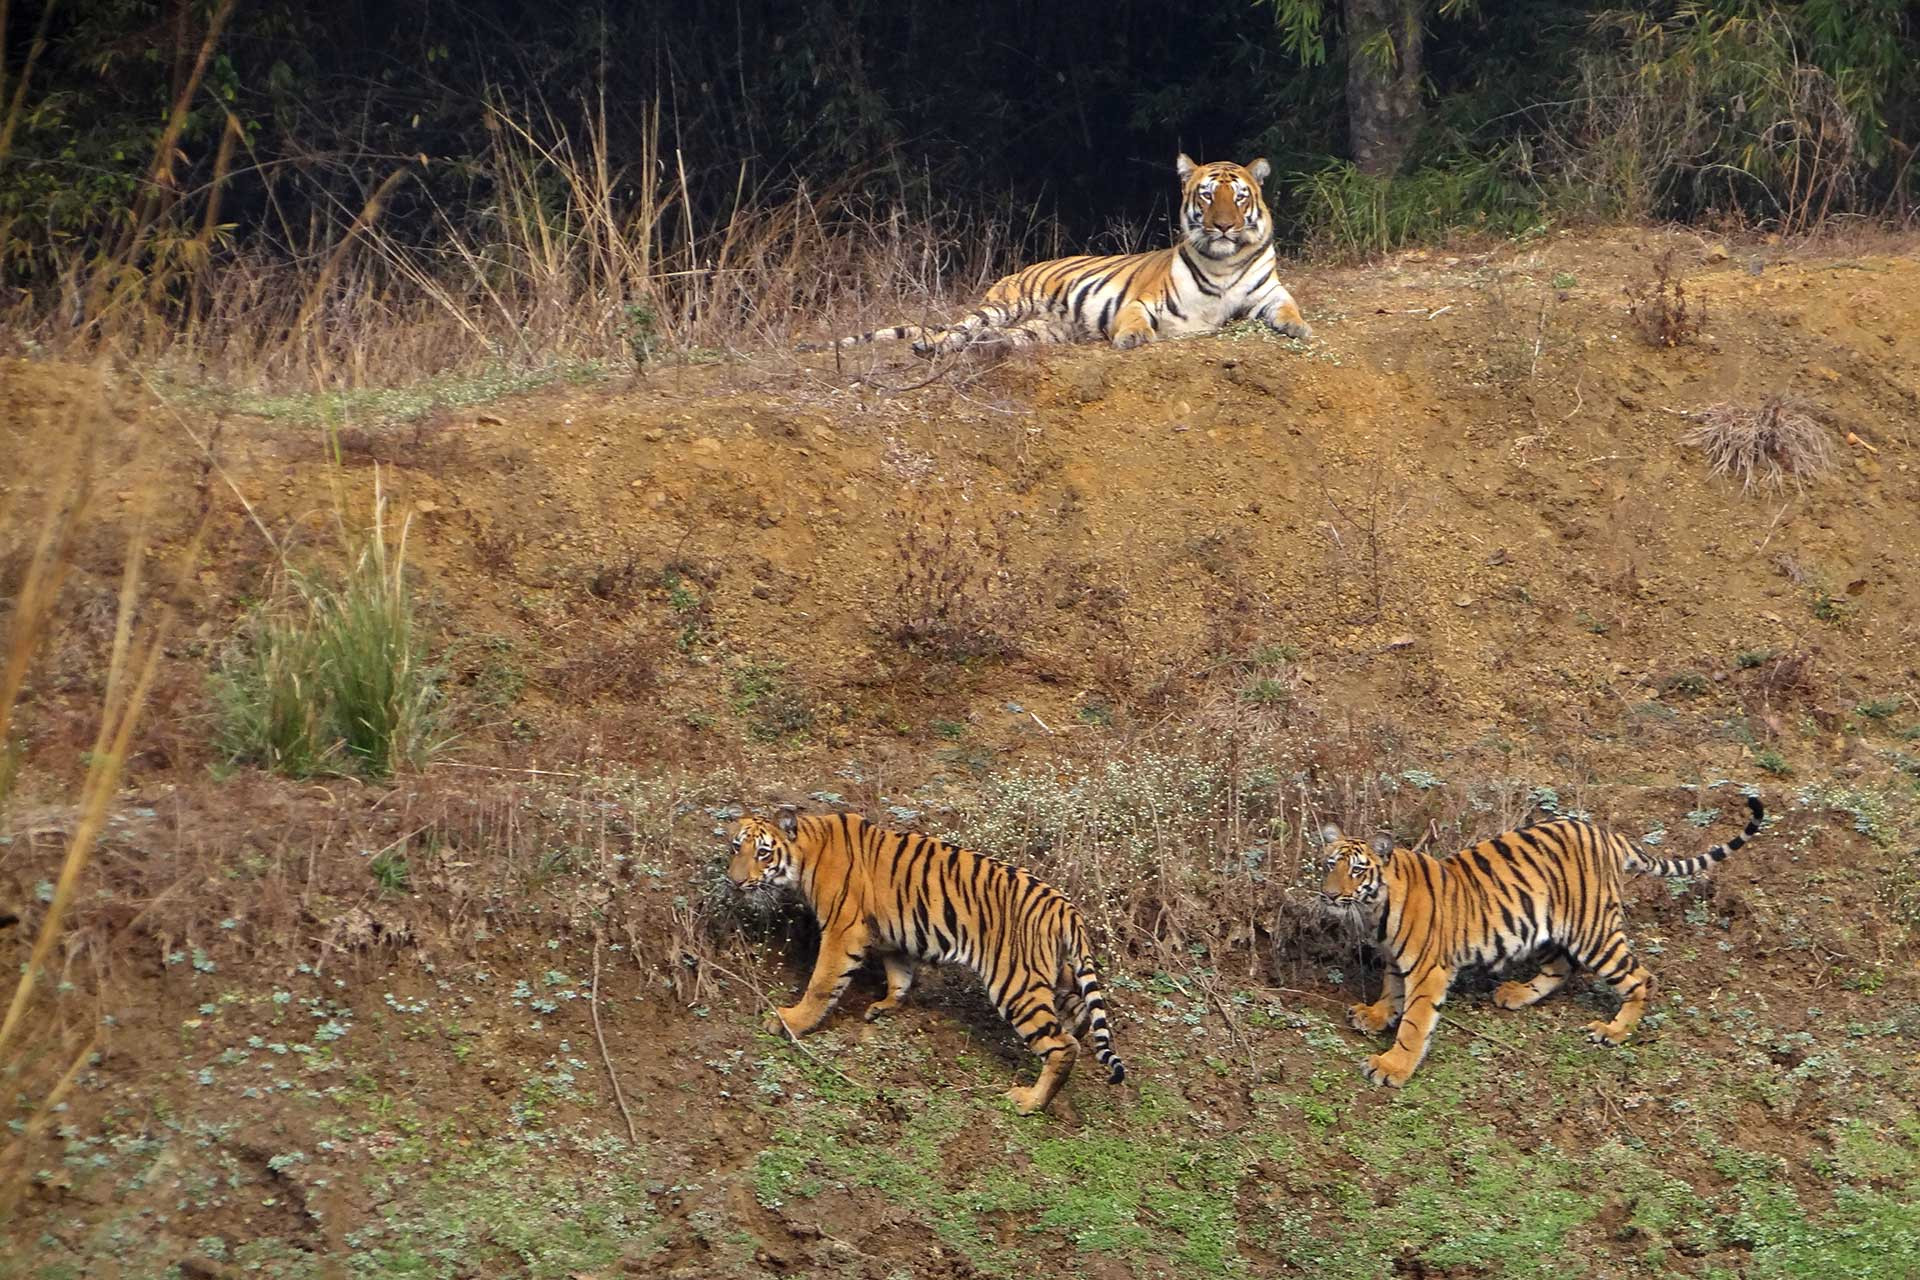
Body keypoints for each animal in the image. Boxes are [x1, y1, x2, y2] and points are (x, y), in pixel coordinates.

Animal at [726, 806, 1125, 1114]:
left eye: (763, 853)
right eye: (735, 847)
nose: (734, 881)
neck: (809, 849)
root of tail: (1066, 908)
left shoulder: (843, 931)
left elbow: (822, 985)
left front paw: (789, 1022)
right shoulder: (890, 932)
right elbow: (898, 973)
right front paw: (886, 1006)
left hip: (1016, 982)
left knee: (1061, 1045)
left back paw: (1029, 1102)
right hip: (1053, 973)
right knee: (1079, 1014)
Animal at [799, 155, 1311, 357]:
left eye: (1238, 198)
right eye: (1206, 196)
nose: (1222, 225)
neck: (1223, 262)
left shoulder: (1269, 292)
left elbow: (1288, 307)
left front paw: (1298, 328)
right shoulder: (1143, 300)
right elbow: (1132, 317)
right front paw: (1131, 338)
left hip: (1037, 330)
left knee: (993, 340)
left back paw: (986, 347)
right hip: (1003, 306)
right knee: (953, 331)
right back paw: (930, 346)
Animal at [1317, 794, 1765, 1087]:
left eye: (1356, 870)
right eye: (1328, 865)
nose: (1328, 895)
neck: (1375, 908)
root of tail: (1608, 834)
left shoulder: (1429, 970)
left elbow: (1414, 1023)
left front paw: (1392, 1067)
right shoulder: (1397, 959)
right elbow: (1391, 991)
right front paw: (1375, 1016)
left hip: (1593, 931)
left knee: (1640, 977)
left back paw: (1613, 1031)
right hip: (1546, 925)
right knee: (1561, 967)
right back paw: (1515, 994)